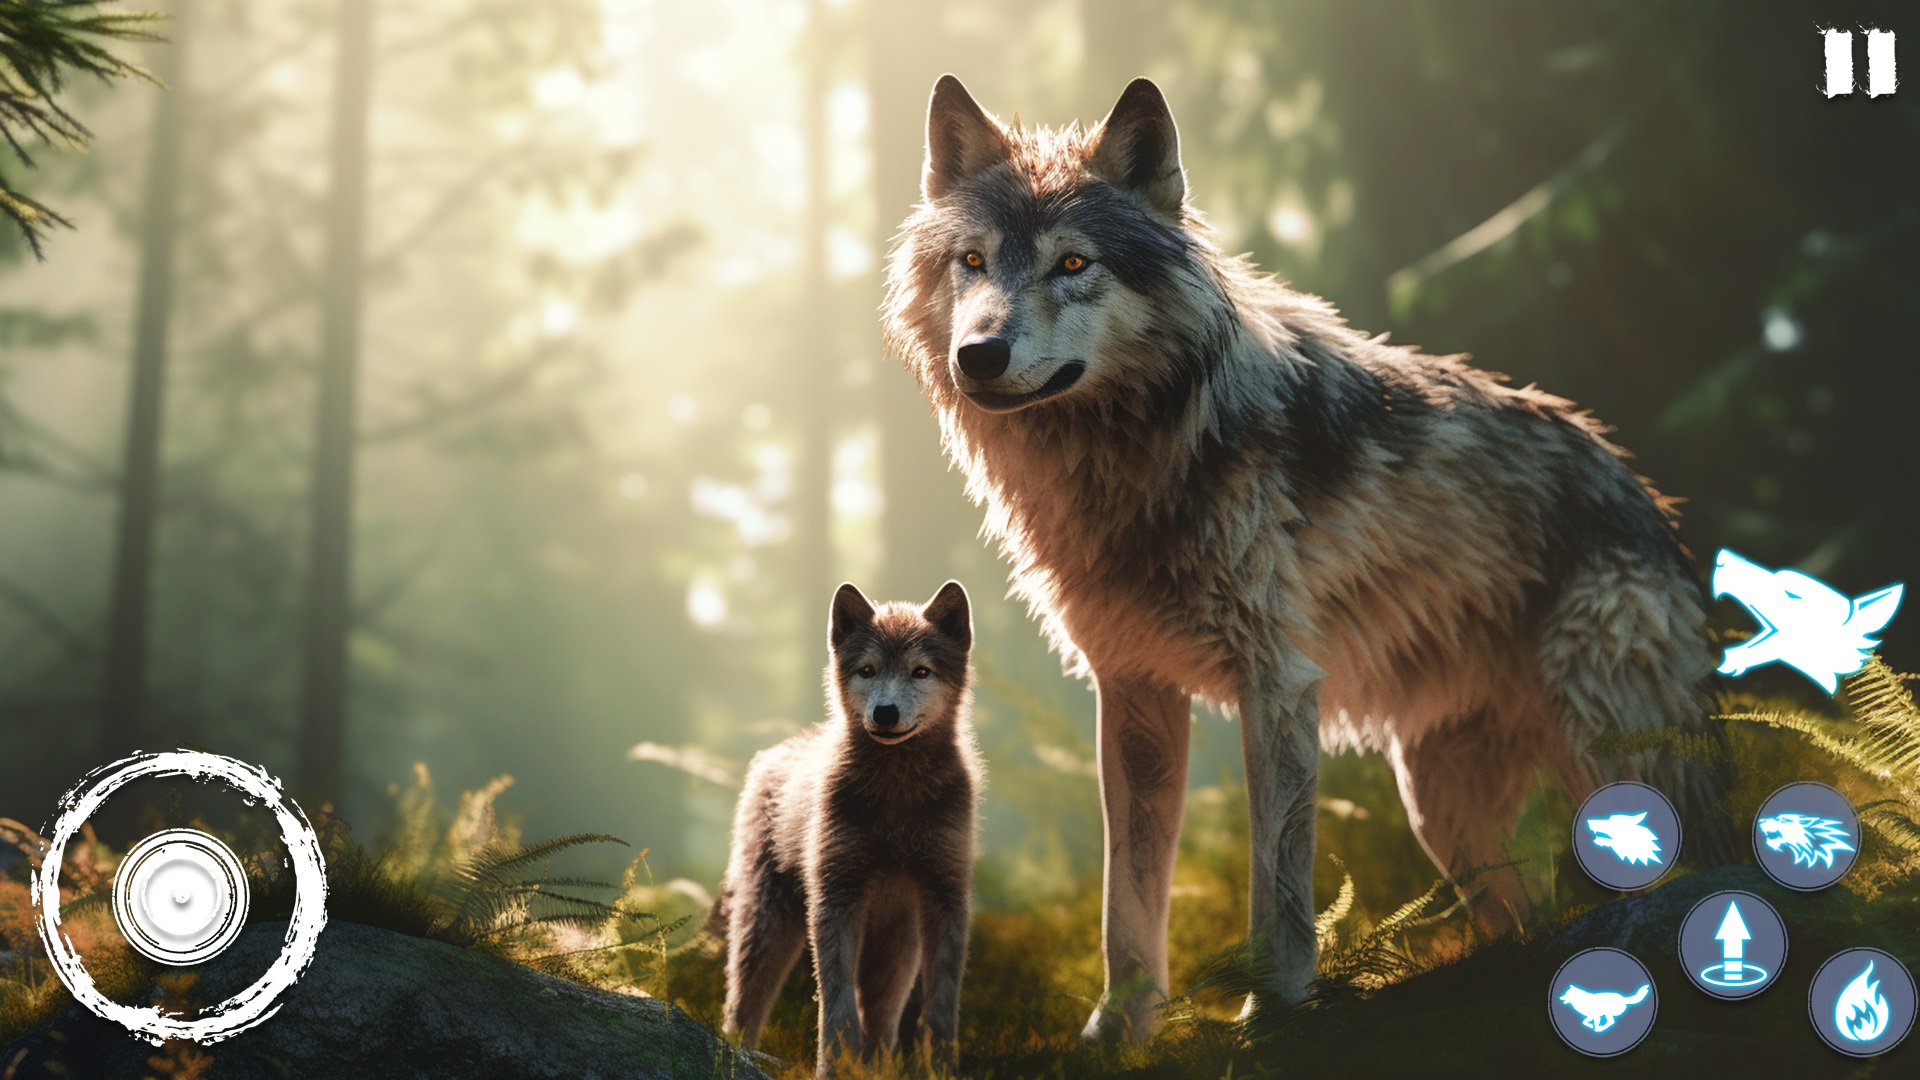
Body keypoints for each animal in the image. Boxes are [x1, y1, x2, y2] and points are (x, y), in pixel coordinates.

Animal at [709, 581, 981, 1075]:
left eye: (921, 671)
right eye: (867, 670)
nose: (885, 712)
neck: (896, 801)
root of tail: (773, 753)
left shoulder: (947, 896)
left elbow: (942, 1006)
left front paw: (938, 1069)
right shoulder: (835, 898)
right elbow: (836, 1007)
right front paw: (833, 1069)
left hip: (896, 952)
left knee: (882, 1024)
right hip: (768, 929)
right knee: (742, 1008)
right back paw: (737, 1059)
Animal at [882, 74, 1727, 1041]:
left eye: (1072, 264)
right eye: (973, 262)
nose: (979, 354)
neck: (1141, 459)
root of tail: (1649, 498)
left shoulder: (1277, 683)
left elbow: (1276, 884)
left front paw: (1271, 1014)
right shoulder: (1134, 691)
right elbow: (1124, 894)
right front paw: (1117, 1034)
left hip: (1607, 749)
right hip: (1440, 809)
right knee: (1526, 912)